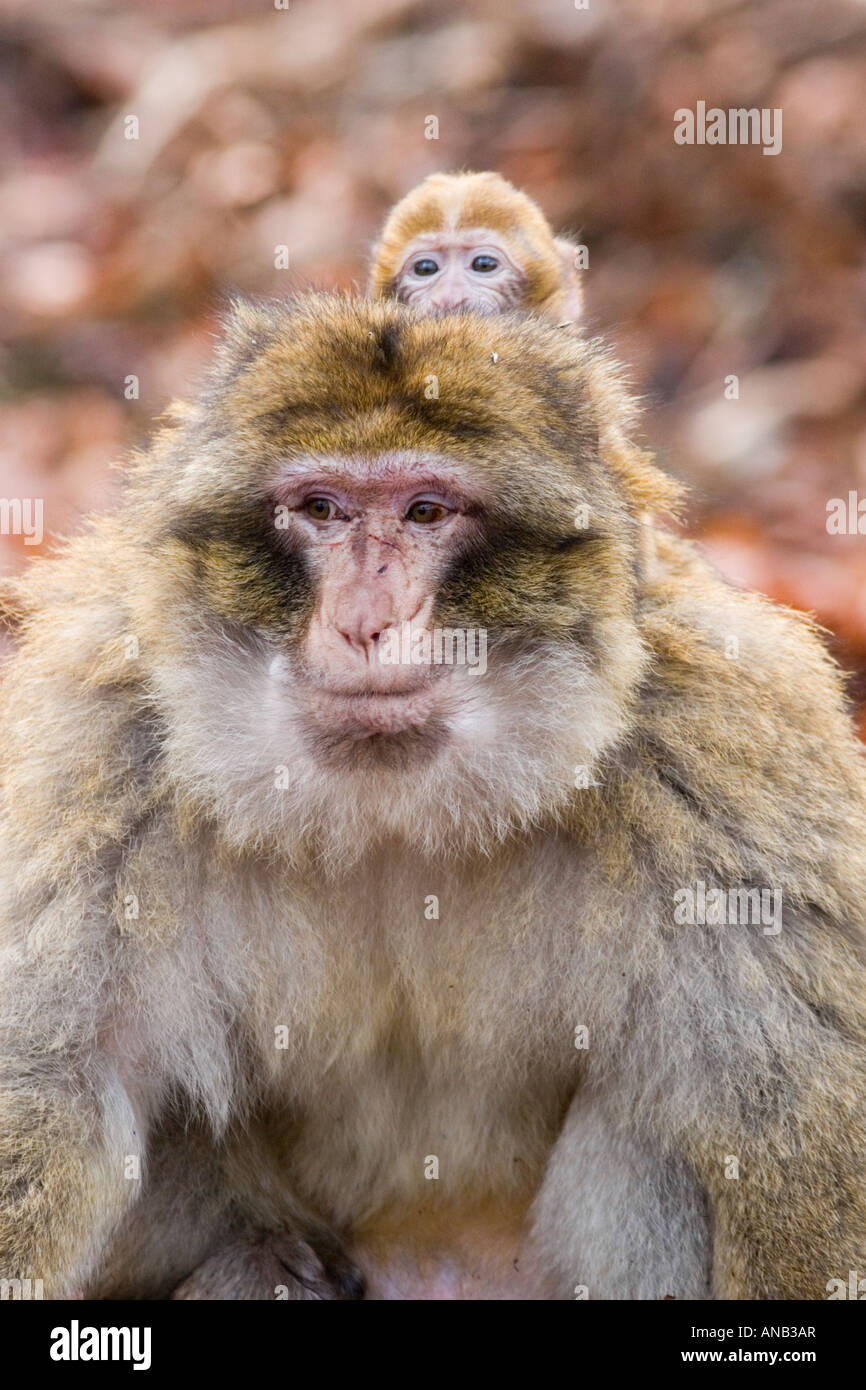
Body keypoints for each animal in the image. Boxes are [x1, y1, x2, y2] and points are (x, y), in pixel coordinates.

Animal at [1, 292, 866, 1302]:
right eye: (322, 510)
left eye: (425, 512)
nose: (364, 621)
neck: (399, 806)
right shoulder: (101, 749)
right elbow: (51, 1086)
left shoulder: (726, 768)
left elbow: (787, 1127)